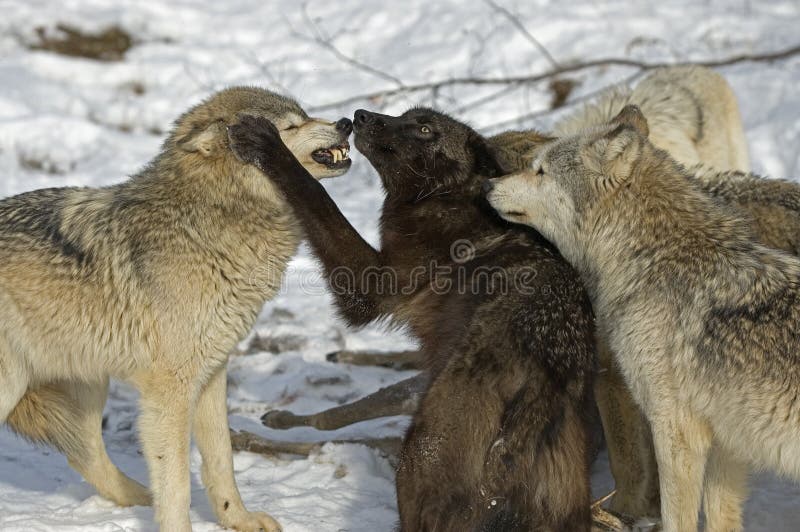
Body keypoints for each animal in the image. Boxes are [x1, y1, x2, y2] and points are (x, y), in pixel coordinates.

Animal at [0, 86, 353, 531]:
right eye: (290, 126)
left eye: (303, 115)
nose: (346, 122)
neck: (206, 224)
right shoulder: (169, 391)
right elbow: (177, 484)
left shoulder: (212, 373)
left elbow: (221, 461)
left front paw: (238, 518)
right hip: (17, 384)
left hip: (88, 384)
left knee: (85, 456)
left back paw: (138, 500)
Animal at [228, 111, 597, 531]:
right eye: (405, 116)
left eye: (424, 129)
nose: (359, 116)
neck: (444, 197)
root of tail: (542, 389)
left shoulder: (369, 287)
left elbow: (314, 194)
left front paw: (264, 141)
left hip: (418, 454)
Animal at [486, 104, 800, 532]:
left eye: (540, 171)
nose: (487, 184)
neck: (656, 261)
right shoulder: (726, 441)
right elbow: (720, 518)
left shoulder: (675, 430)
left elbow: (675, 516)